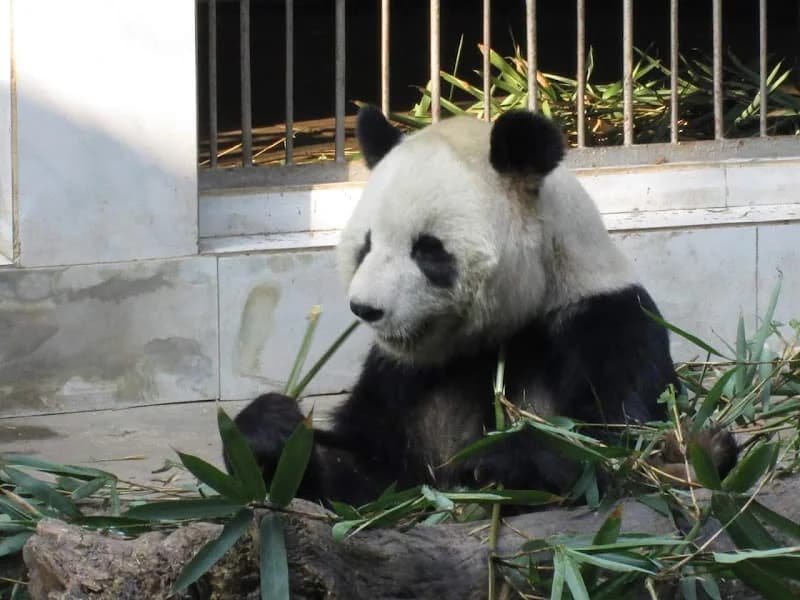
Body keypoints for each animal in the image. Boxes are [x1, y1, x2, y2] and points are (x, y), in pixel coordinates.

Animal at [233, 106, 736, 507]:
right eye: (366, 246)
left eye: (427, 250)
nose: (366, 309)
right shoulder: (399, 373)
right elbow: (371, 473)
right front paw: (271, 427)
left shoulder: (606, 321)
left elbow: (613, 447)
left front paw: (498, 461)